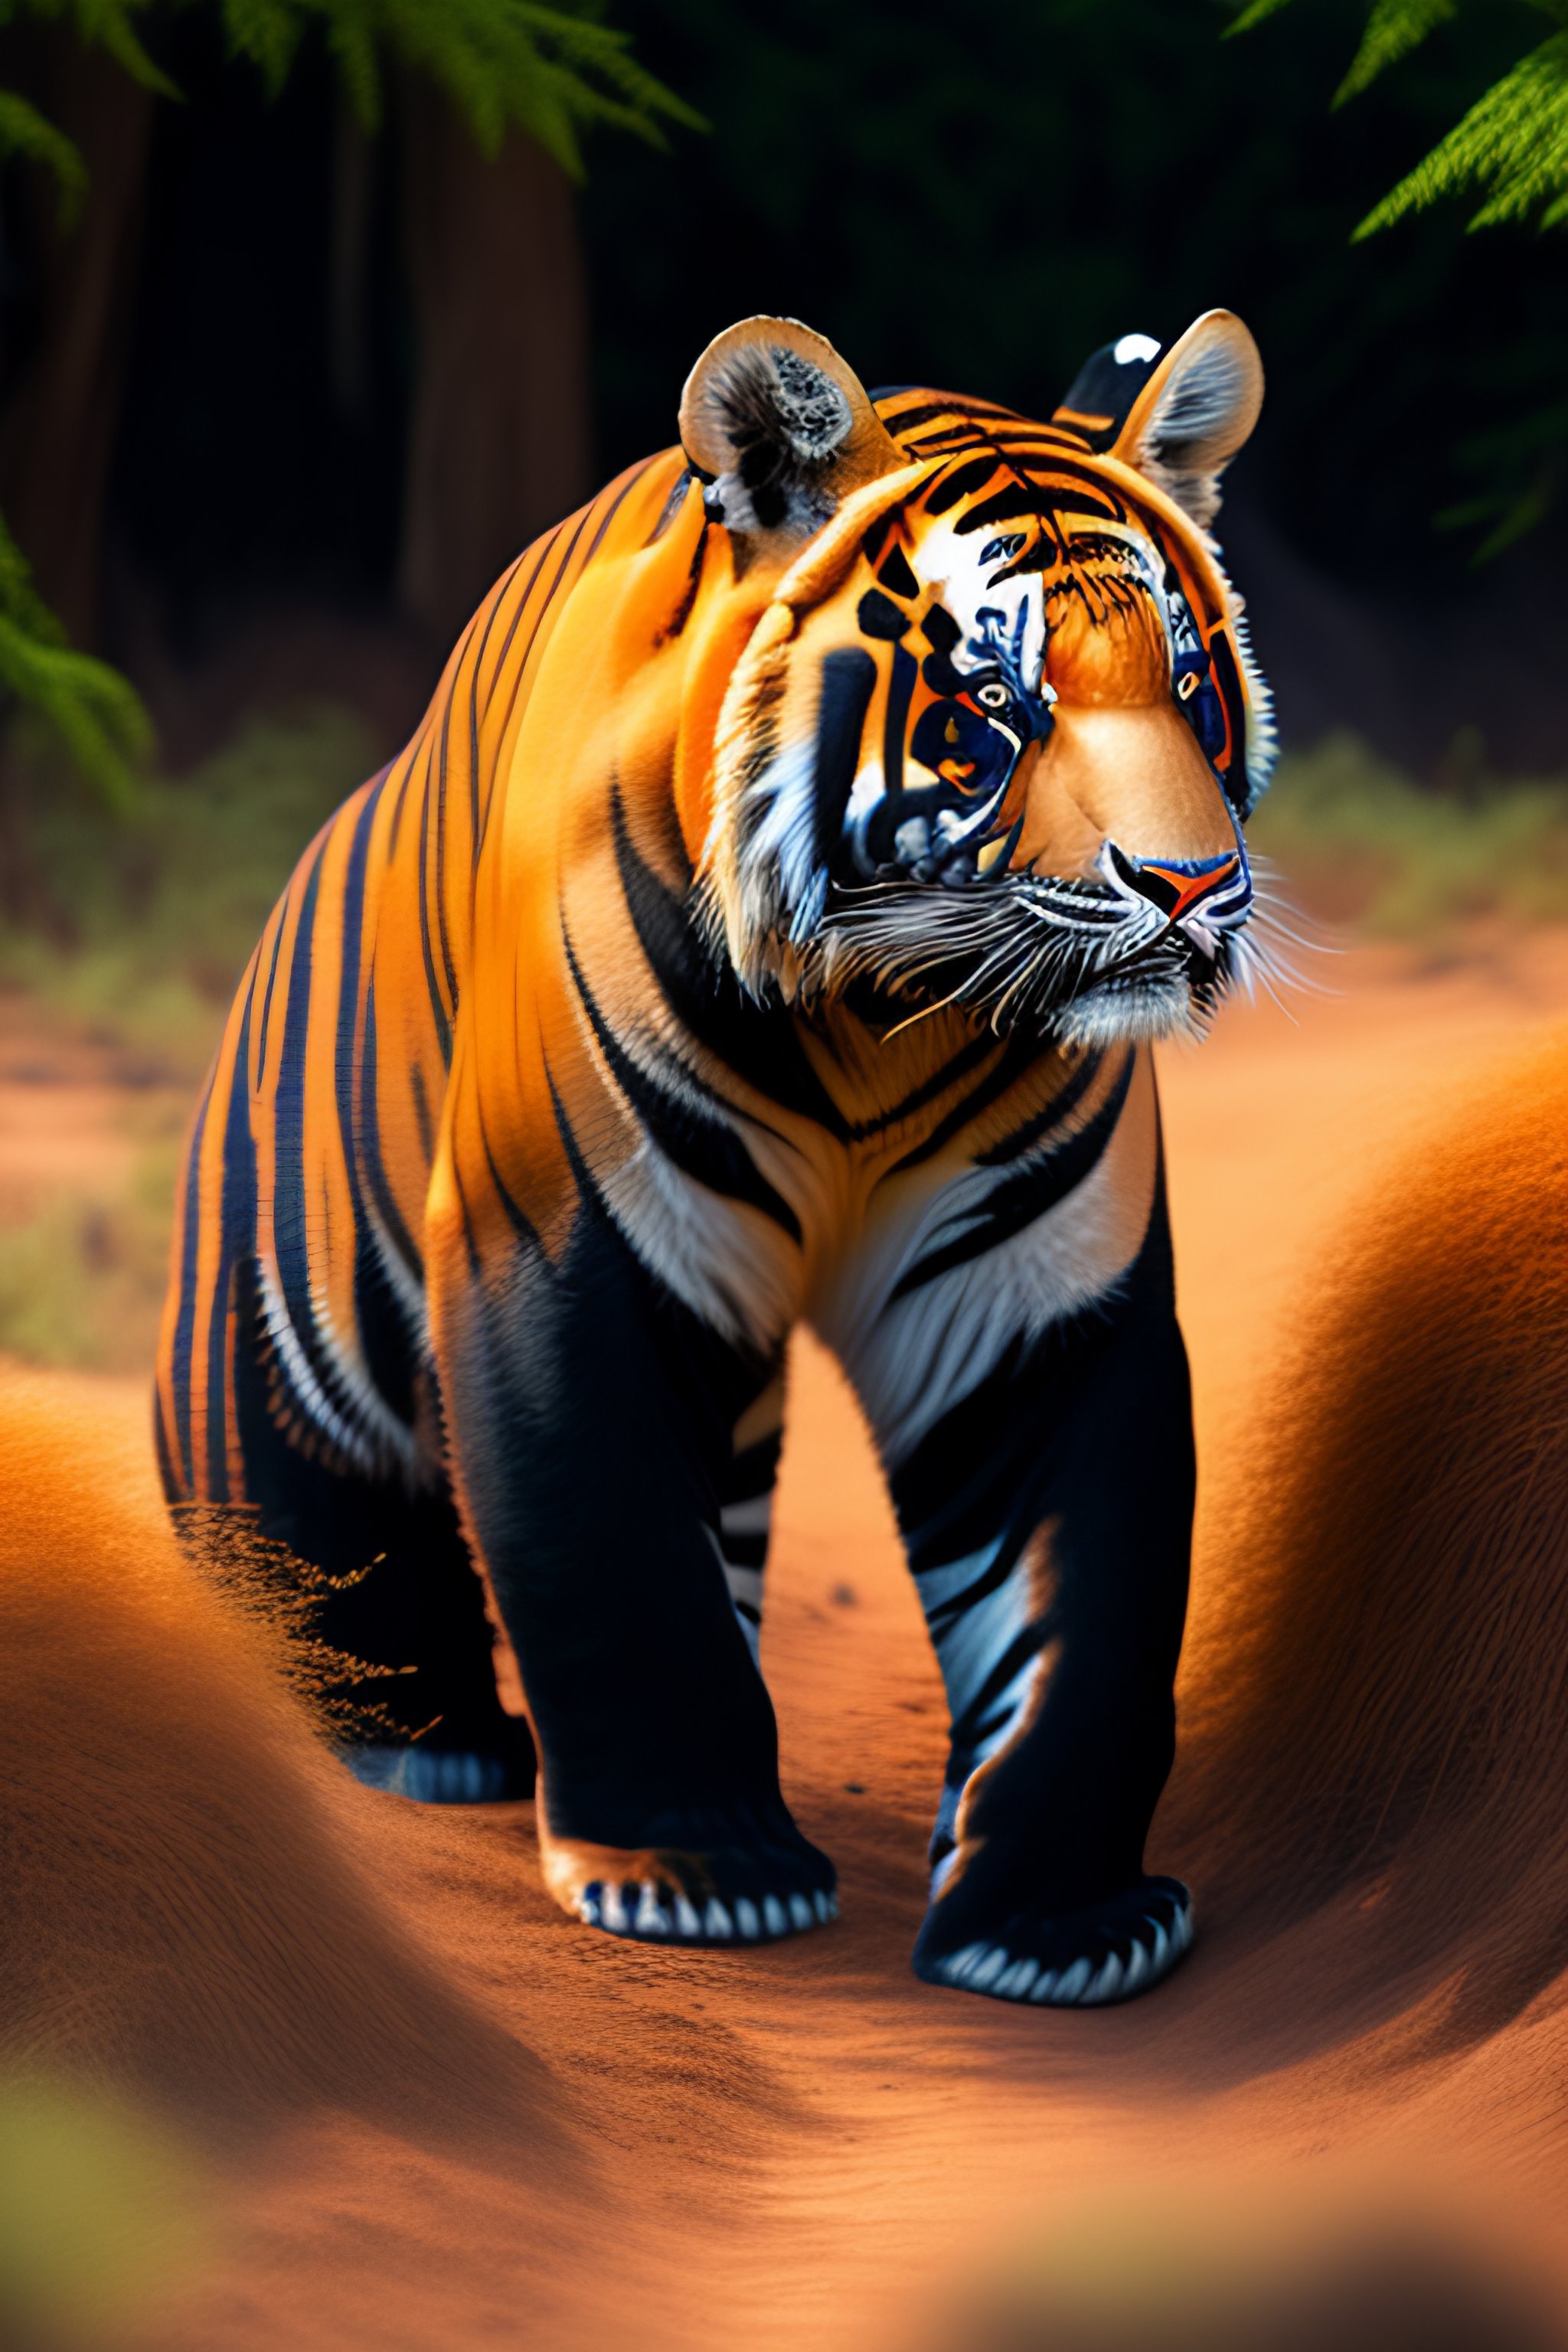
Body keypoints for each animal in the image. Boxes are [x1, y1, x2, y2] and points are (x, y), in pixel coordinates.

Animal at [156, 310, 1274, 2008]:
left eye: (1188, 679)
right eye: (998, 701)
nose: (1192, 884)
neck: (884, 1010)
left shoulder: (1031, 1293)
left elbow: (1075, 1591)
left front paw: (1056, 1923)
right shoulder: (574, 1248)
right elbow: (612, 1542)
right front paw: (695, 1870)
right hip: (277, 1343)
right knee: (307, 1512)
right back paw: (414, 1742)